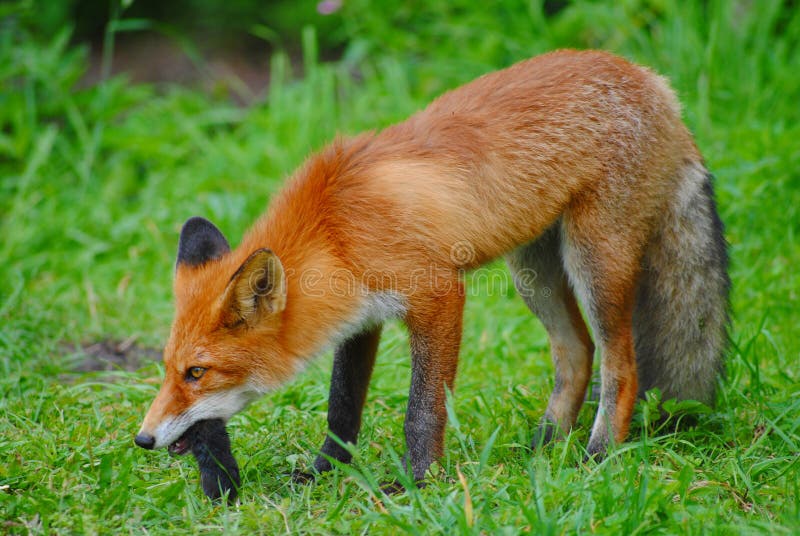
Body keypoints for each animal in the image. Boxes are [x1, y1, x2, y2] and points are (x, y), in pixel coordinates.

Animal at [134, 49, 730, 491]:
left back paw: (598, 454)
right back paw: (543, 445)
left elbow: (422, 411)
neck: (336, 230)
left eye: (197, 373)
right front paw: (325, 471)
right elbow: (341, 409)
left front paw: (419, 482)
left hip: (594, 262)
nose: (142, 439)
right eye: (167, 368)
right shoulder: (363, 317)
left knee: (620, 365)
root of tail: (653, 80)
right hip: (532, 271)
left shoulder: (439, 295)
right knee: (576, 352)